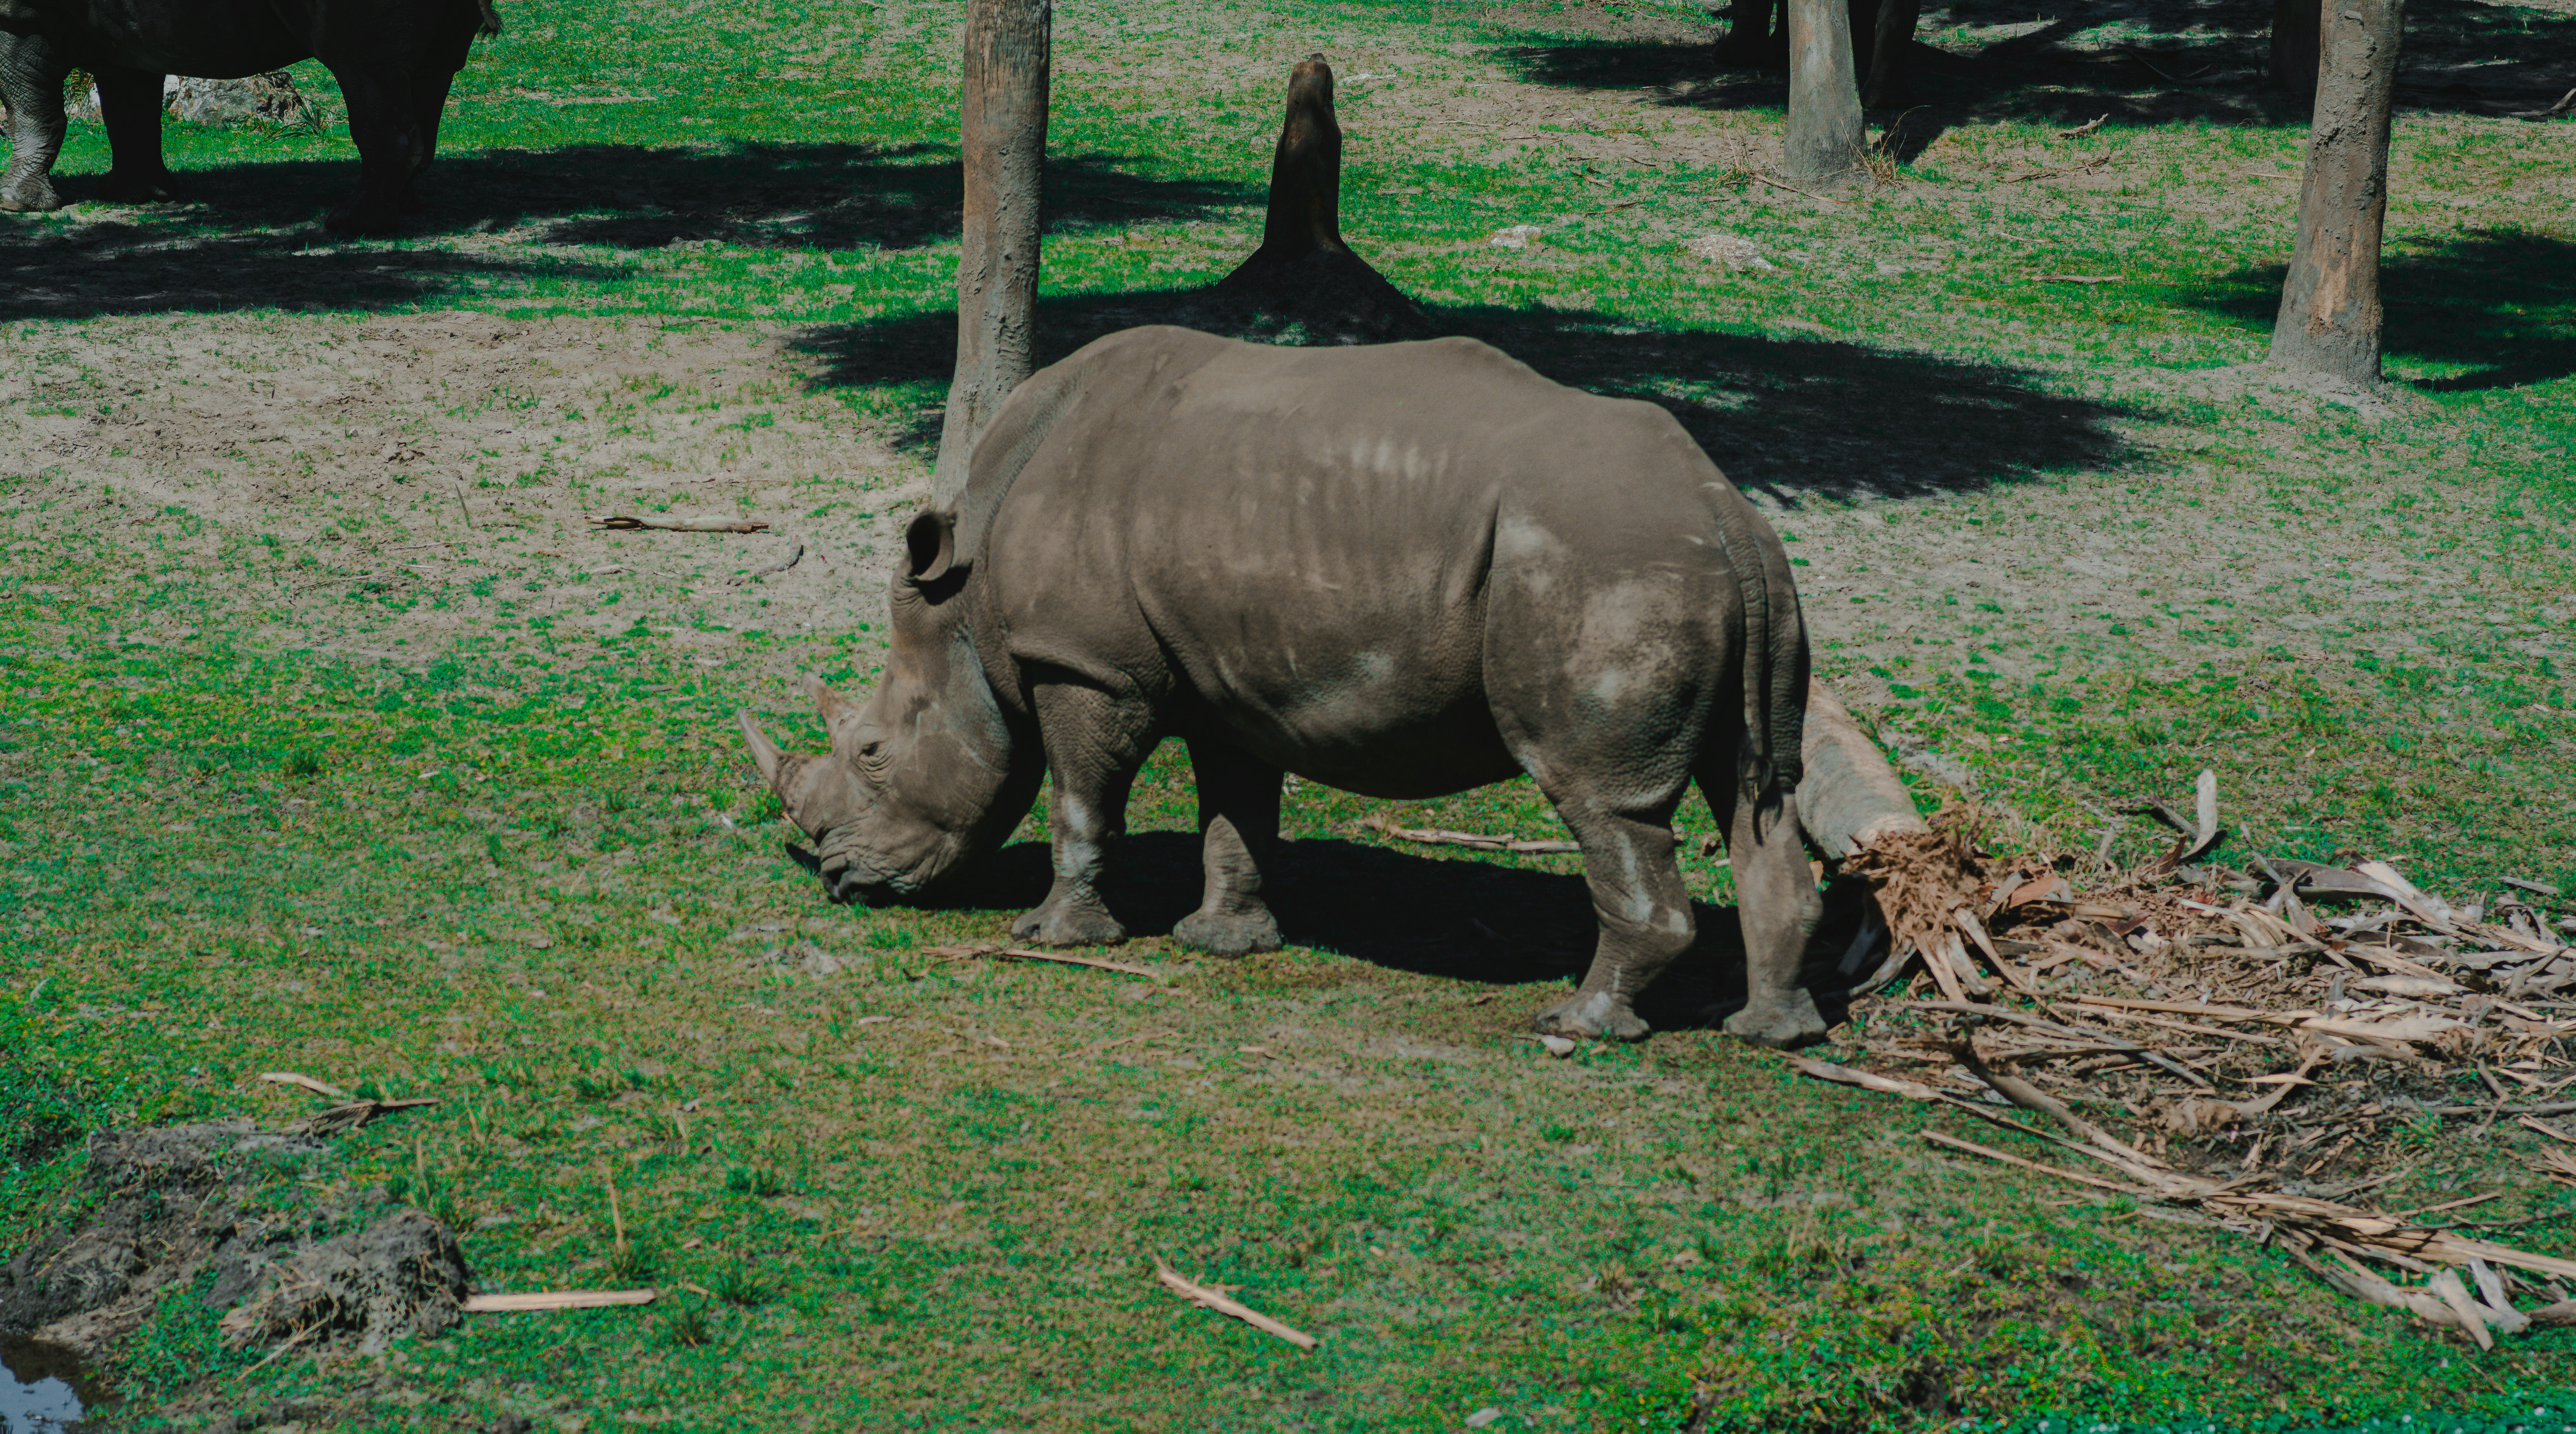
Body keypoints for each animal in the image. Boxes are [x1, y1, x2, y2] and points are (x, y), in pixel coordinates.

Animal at [0, 0, 493, 231]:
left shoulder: (21, 15)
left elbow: (30, 107)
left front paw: (13, 204)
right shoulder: (121, 25)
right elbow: (129, 108)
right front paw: (140, 197)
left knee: (363, 66)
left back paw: (350, 224)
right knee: (429, 71)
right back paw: (403, 208)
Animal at [739, 325, 1827, 1048]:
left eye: (872, 751)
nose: (838, 877)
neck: (968, 596)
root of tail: (1727, 510)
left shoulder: (1084, 662)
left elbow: (1080, 799)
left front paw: (1050, 933)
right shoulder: (1227, 676)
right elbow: (1235, 808)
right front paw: (1222, 943)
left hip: (1606, 563)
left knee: (1599, 800)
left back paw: (1578, 1022)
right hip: (1703, 570)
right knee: (1755, 792)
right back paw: (1768, 1032)